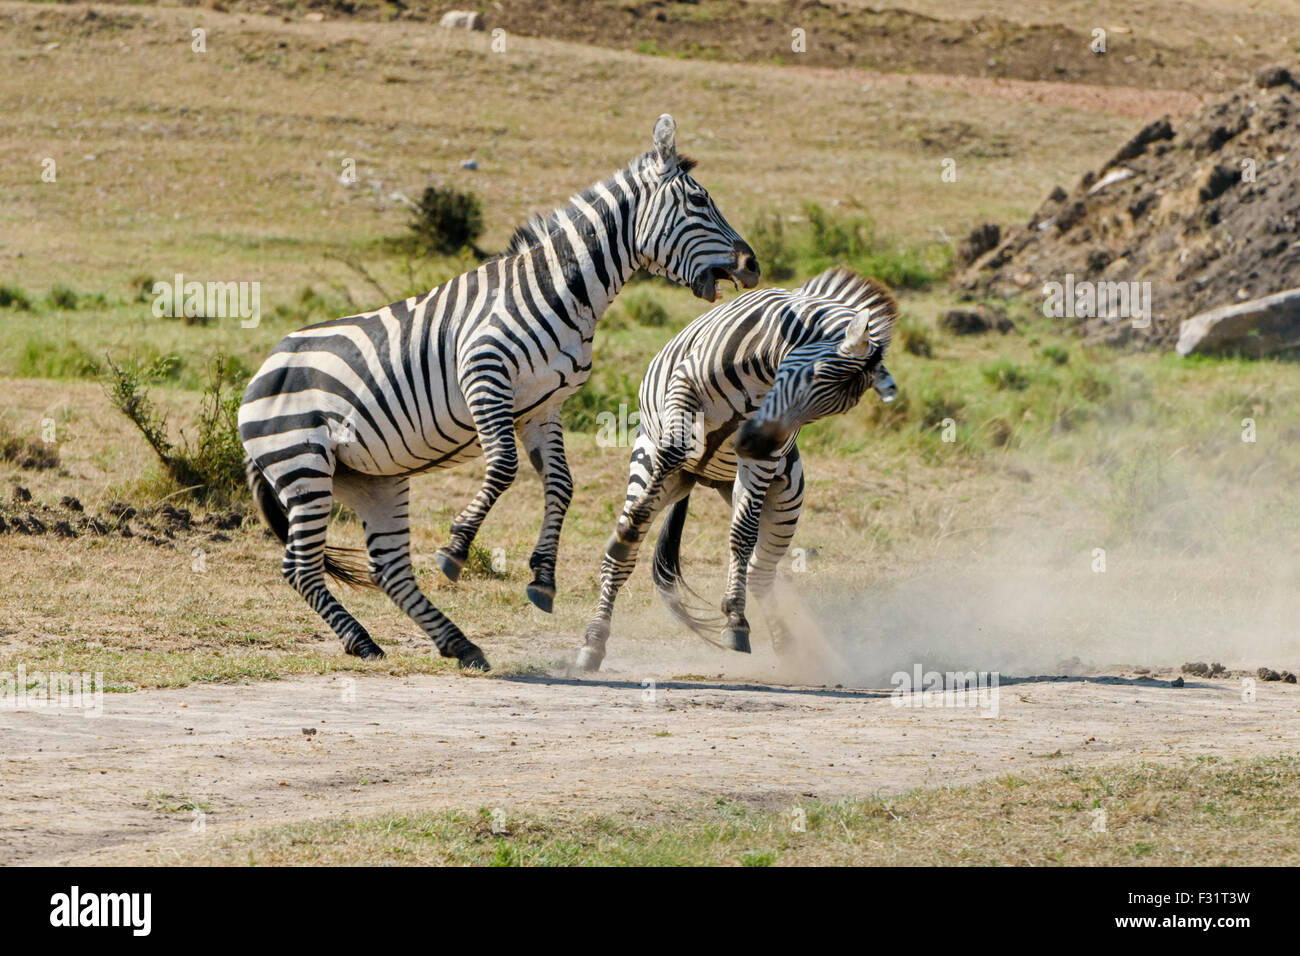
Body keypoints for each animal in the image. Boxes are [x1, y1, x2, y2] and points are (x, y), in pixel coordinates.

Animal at [238, 115, 759, 671]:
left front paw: (543, 578)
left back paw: (456, 643)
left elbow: (562, 485)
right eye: (699, 202)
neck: (565, 291)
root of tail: (264, 369)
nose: (752, 265)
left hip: (373, 481)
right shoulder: (483, 374)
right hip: (302, 465)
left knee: (388, 569)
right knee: (300, 566)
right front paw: (456, 549)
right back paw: (362, 640)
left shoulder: (545, 406)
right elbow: (505, 467)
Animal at [576, 266, 897, 672]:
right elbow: (674, 448)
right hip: (657, 468)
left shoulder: (761, 463)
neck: (768, 362)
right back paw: (594, 639)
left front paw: (734, 618)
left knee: (761, 570)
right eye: (812, 377)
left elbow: (741, 536)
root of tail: (701, 478)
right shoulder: (685, 385)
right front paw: (629, 529)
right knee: (625, 552)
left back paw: (787, 645)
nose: (754, 443)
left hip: (784, 497)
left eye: (827, 412)